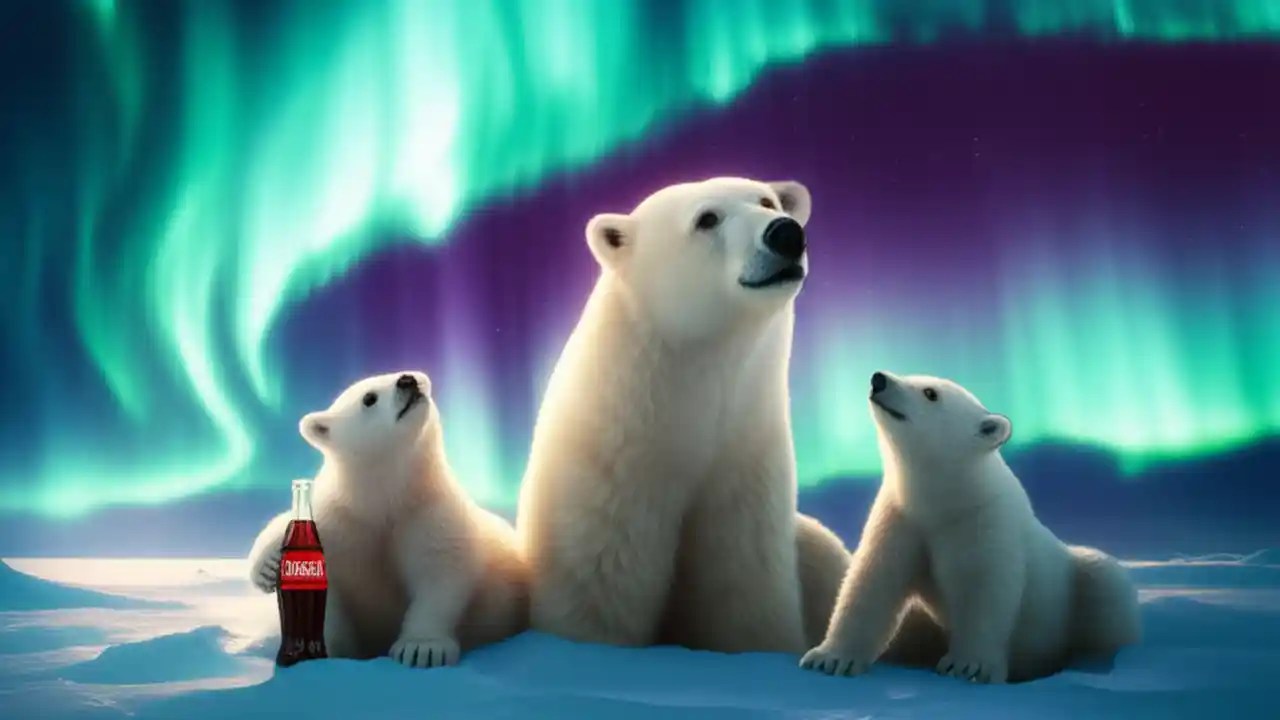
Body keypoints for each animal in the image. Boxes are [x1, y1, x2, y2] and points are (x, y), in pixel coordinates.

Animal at [247, 371, 529, 668]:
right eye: (369, 398)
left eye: (410, 372)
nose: (408, 380)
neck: (383, 495)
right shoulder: (338, 519)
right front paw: (267, 566)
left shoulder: (428, 516)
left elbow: (440, 577)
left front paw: (422, 648)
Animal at [515, 176, 851, 654]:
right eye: (707, 218)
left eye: (767, 201)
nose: (786, 233)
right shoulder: (610, 476)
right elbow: (600, 586)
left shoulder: (745, 465)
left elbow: (741, 585)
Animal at [801, 371, 1141, 683]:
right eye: (911, 374)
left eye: (930, 392)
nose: (879, 379)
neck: (944, 498)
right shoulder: (902, 517)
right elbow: (873, 581)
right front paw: (829, 658)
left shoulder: (985, 521)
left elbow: (984, 590)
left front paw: (967, 666)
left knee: (1105, 588)